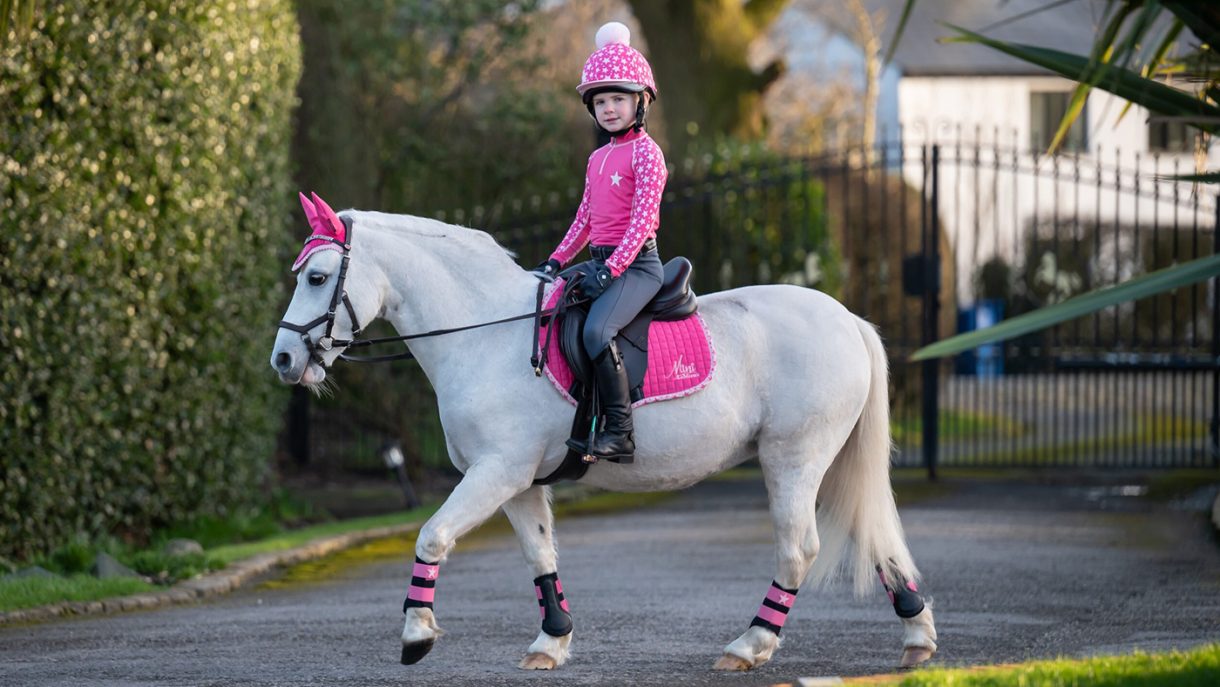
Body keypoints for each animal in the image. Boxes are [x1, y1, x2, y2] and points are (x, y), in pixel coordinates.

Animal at [270, 196, 938, 672]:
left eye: (318, 277)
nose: (283, 360)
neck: (485, 332)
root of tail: (846, 318)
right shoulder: (517, 482)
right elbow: (540, 555)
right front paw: (551, 642)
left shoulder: (496, 471)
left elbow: (432, 536)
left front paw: (415, 634)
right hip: (826, 459)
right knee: (871, 535)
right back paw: (917, 634)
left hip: (792, 459)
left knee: (799, 549)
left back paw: (750, 645)